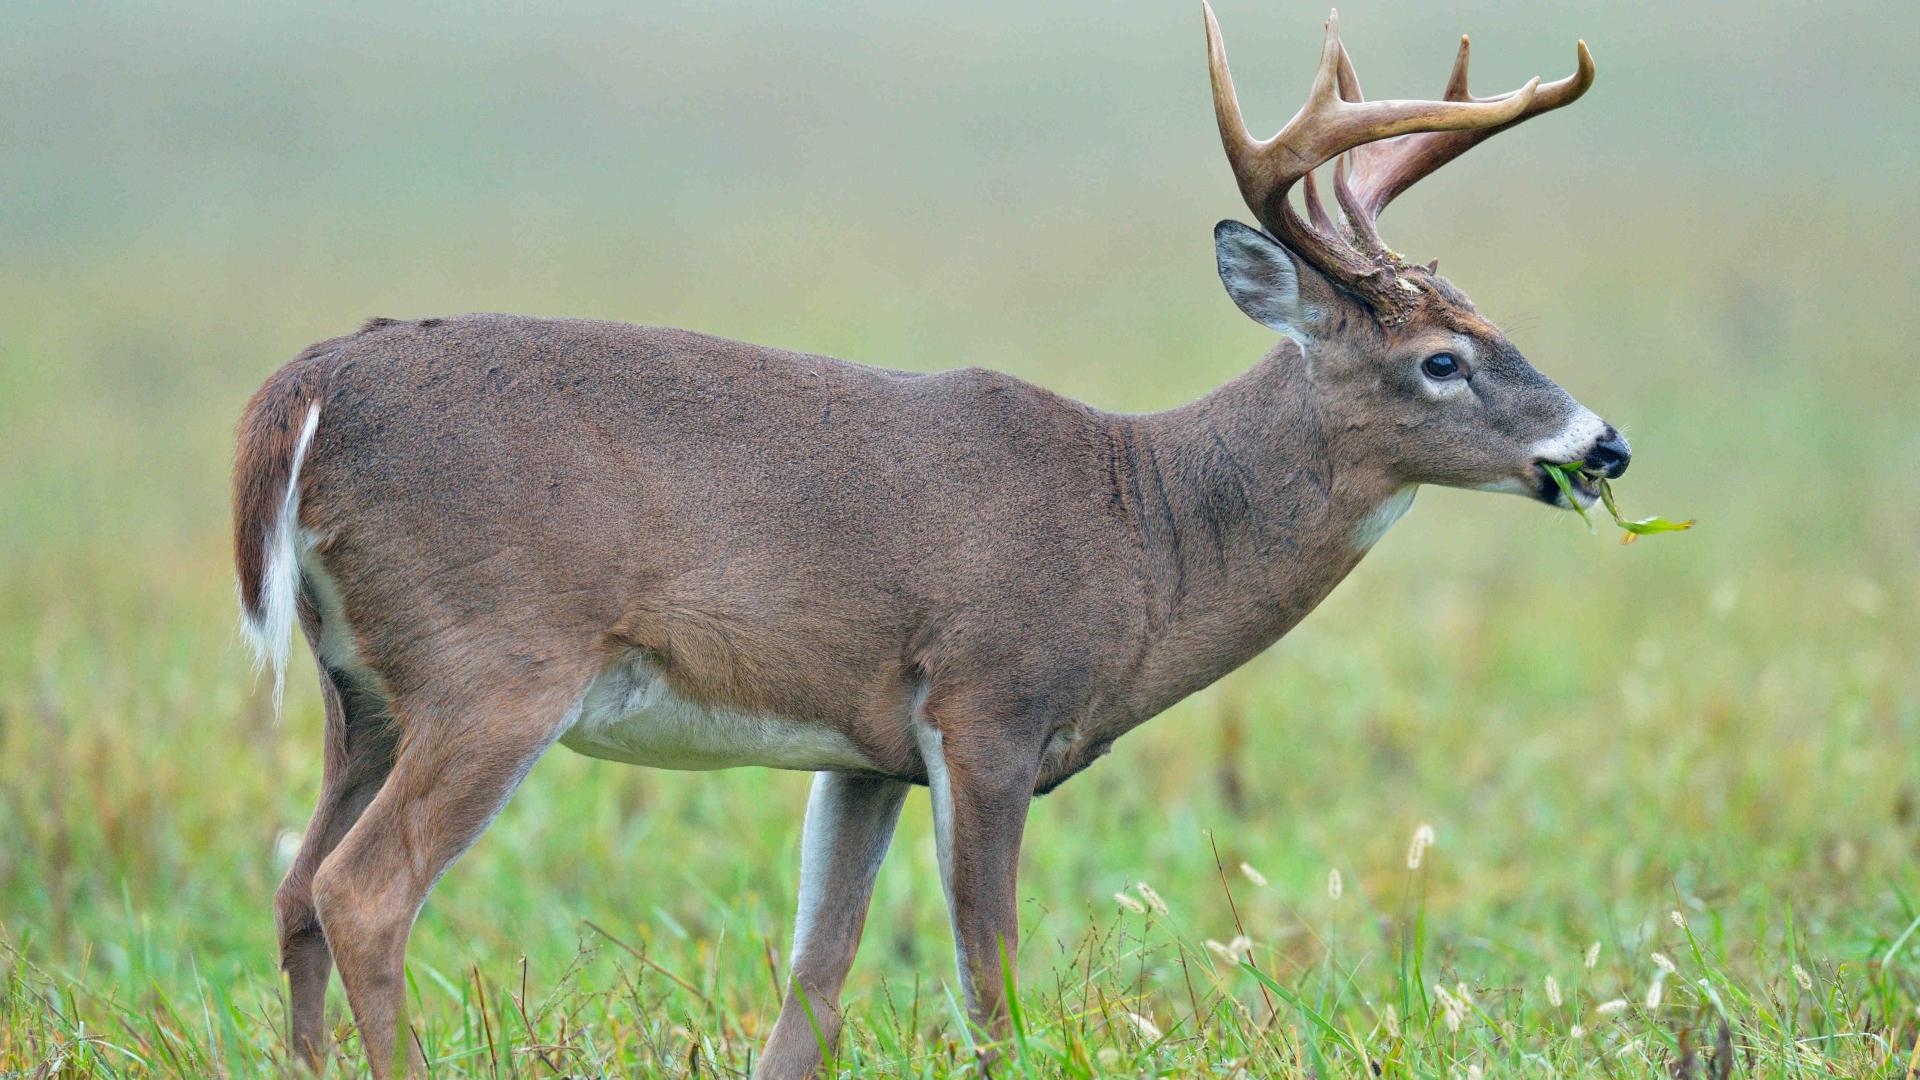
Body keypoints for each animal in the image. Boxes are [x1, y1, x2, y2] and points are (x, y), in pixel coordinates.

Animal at [235, 6, 1623, 1076]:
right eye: (1439, 360)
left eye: (1497, 326)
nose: (1604, 446)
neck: (1147, 534)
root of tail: (306, 391)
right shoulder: (989, 699)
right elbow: (988, 989)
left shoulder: (865, 752)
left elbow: (813, 990)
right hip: (494, 664)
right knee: (363, 893)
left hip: (362, 688)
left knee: (297, 885)